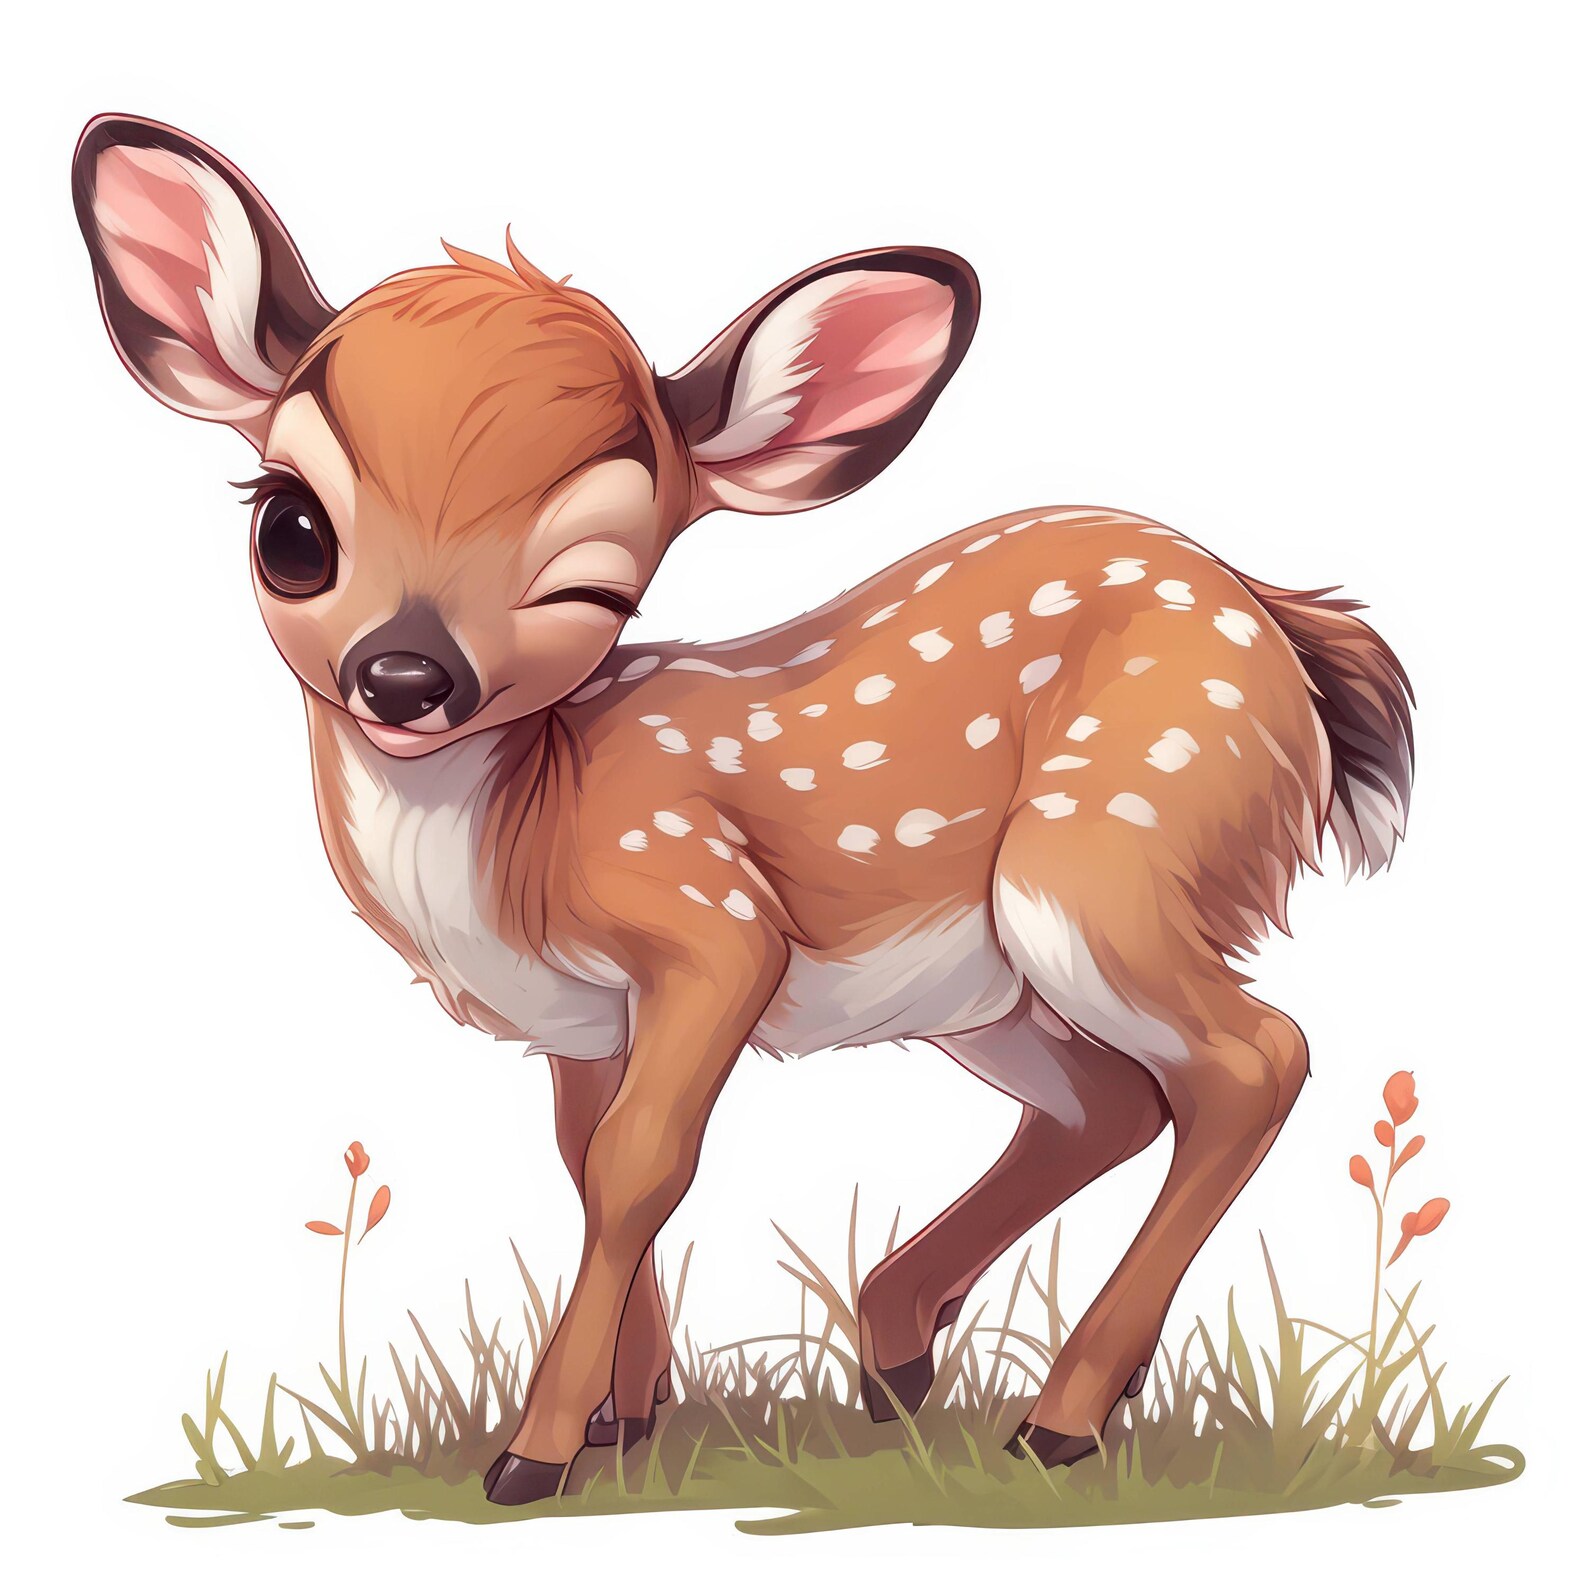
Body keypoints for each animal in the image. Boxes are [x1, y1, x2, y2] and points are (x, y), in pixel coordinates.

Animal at [72, 114, 1414, 1505]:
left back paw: (1058, 1419)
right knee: (1112, 1102)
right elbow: (587, 1162)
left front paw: (532, 1452)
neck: (518, 845)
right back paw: (900, 1358)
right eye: (291, 529)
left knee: (1254, 1060)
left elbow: (639, 1167)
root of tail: (1281, 628)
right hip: (984, 982)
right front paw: (627, 1416)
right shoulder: (585, 1016)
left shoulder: (713, 923)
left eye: (598, 587)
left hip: (1109, 854)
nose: (404, 674)